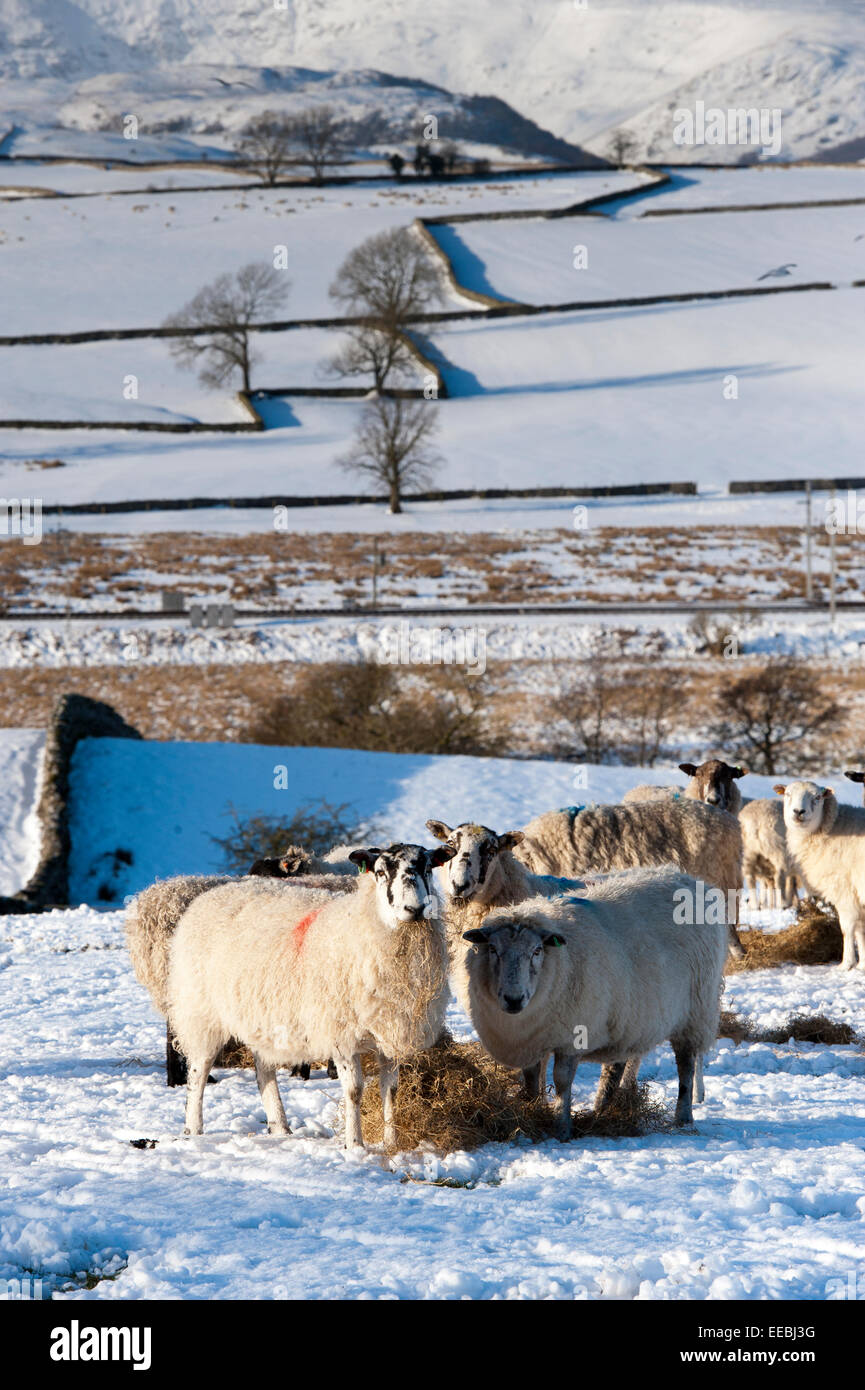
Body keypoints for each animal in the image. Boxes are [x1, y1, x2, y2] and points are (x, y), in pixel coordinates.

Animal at [167, 843, 455, 1146]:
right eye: (379, 873)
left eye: (428, 868)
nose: (415, 908)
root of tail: (209, 896)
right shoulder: (341, 1034)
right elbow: (354, 1091)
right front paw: (355, 1145)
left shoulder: (391, 1029)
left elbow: (391, 1090)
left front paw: (391, 1143)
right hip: (201, 1011)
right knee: (198, 1071)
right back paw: (193, 1129)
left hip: (260, 1014)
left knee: (263, 1071)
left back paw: (279, 1126)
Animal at [457, 867, 727, 1137]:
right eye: (493, 949)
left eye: (537, 951)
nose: (514, 999)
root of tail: (685, 877)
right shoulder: (531, 1039)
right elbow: (531, 1078)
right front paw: (533, 1111)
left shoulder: (572, 1035)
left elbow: (562, 1081)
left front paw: (562, 1127)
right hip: (628, 1017)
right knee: (615, 1067)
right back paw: (602, 1110)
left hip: (696, 1012)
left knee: (685, 1066)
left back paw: (683, 1117)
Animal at [774, 781, 865, 970]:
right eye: (787, 794)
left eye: (817, 797)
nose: (798, 812)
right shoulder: (855, 893)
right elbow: (860, 929)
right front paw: (862, 965)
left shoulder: (844, 889)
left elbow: (847, 928)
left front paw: (846, 964)